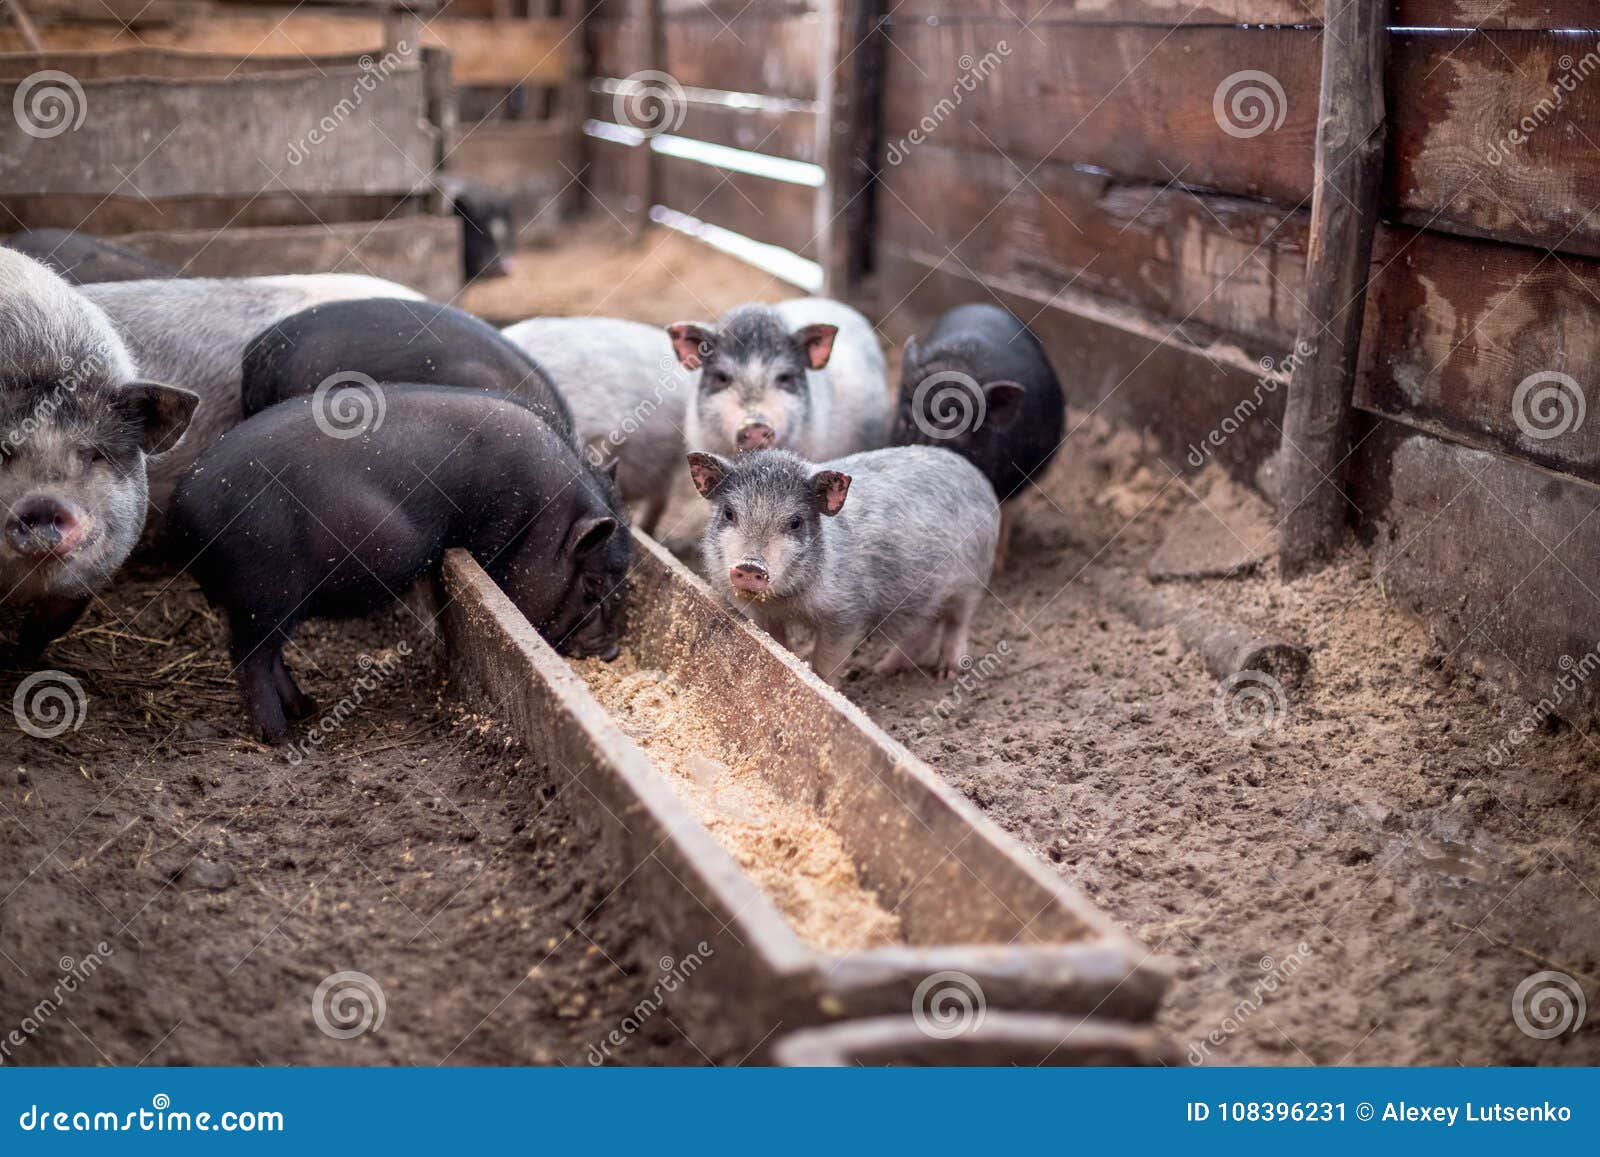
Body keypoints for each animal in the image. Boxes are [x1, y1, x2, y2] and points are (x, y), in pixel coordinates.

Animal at [0, 251, 198, 658]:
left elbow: (49, 625)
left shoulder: (97, 573)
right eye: (2, 452)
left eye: (93, 455)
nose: (43, 502)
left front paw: (22, 658)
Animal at [170, 384, 629, 744]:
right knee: (249, 659)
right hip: (265, 589)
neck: (543, 519)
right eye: (593, 583)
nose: (610, 651)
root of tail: (185, 509)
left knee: (270, 655)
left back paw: (305, 706)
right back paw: (280, 736)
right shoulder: (494, 533)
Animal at [687, 446, 998, 684]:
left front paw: (826, 686)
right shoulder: (762, 615)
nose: (751, 566)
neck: (787, 601)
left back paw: (946, 674)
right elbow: (779, 645)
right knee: (923, 630)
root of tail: (976, 475)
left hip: (973, 578)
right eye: (729, 513)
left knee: (957, 622)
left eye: (795, 522)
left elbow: (827, 661)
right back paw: (883, 670)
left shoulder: (847, 612)